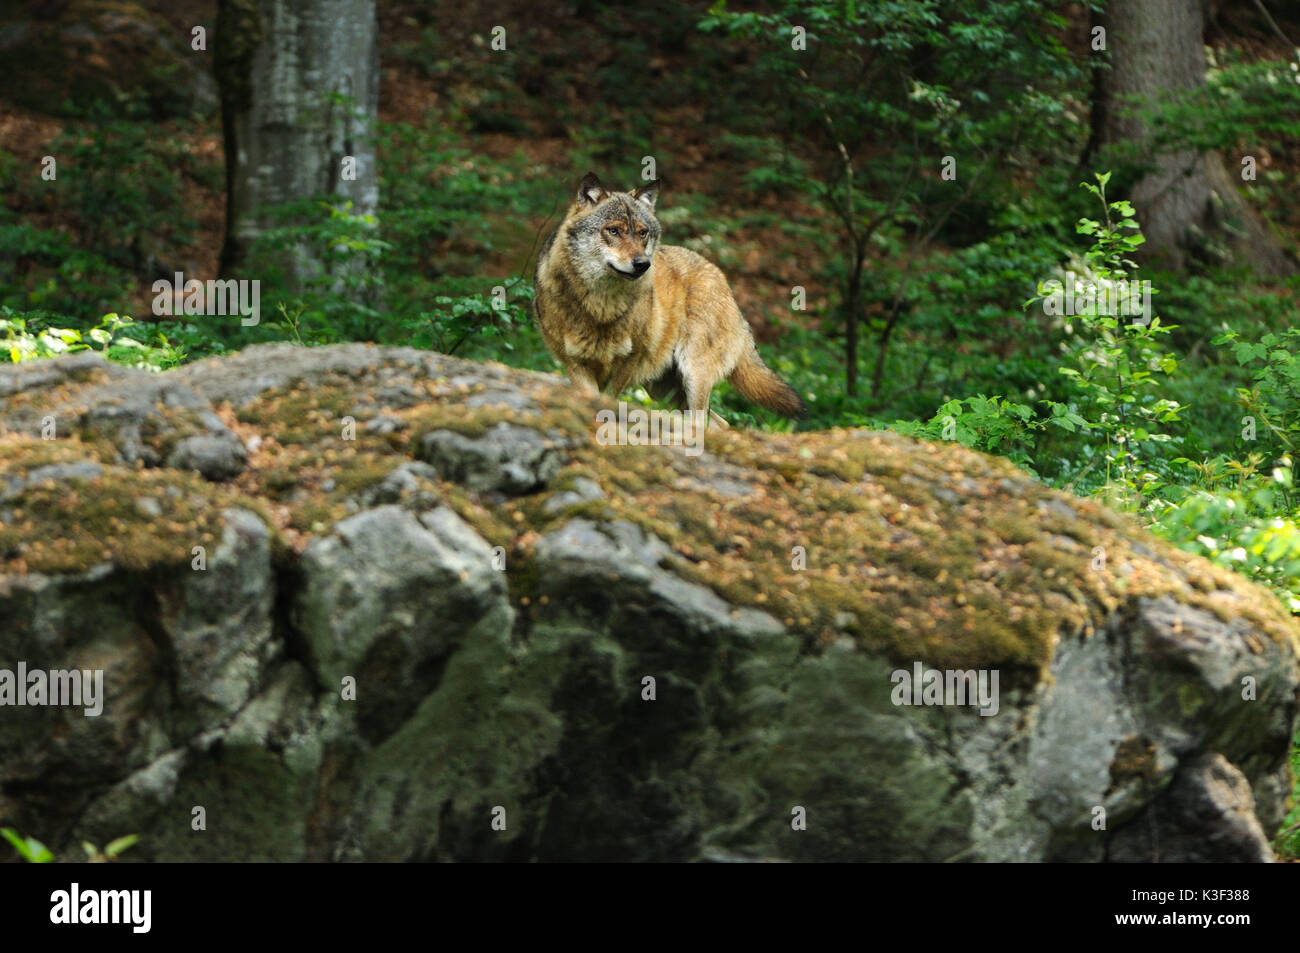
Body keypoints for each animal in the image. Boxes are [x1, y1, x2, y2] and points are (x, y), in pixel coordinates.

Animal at [533, 172, 807, 423]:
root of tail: (720, 276)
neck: (601, 306)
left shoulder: (629, 361)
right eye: (613, 231)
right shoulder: (574, 364)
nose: (642, 264)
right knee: (721, 423)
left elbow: (609, 400)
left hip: (693, 372)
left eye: (642, 233)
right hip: (664, 390)